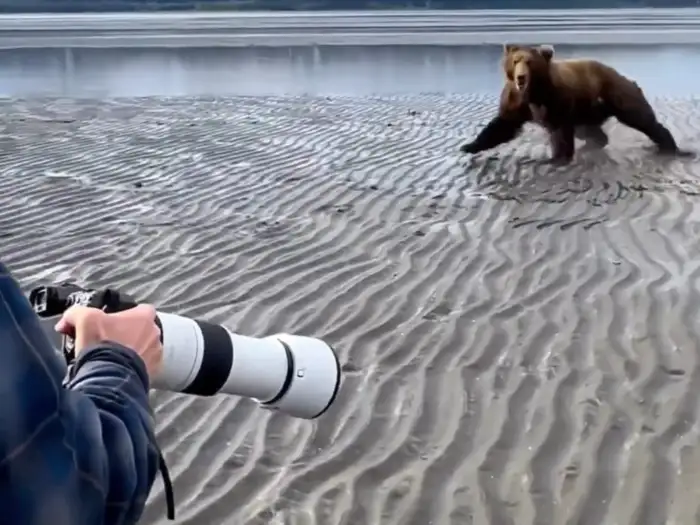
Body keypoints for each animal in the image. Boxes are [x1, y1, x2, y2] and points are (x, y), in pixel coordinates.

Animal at [459, 43, 680, 163]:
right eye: (516, 61)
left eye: (529, 62)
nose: (521, 77)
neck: (533, 92)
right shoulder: (517, 101)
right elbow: (502, 125)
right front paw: (469, 146)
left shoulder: (555, 100)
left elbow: (559, 131)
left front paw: (557, 158)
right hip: (588, 109)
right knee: (592, 132)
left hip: (615, 93)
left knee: (641, 117)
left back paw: (670, 146)